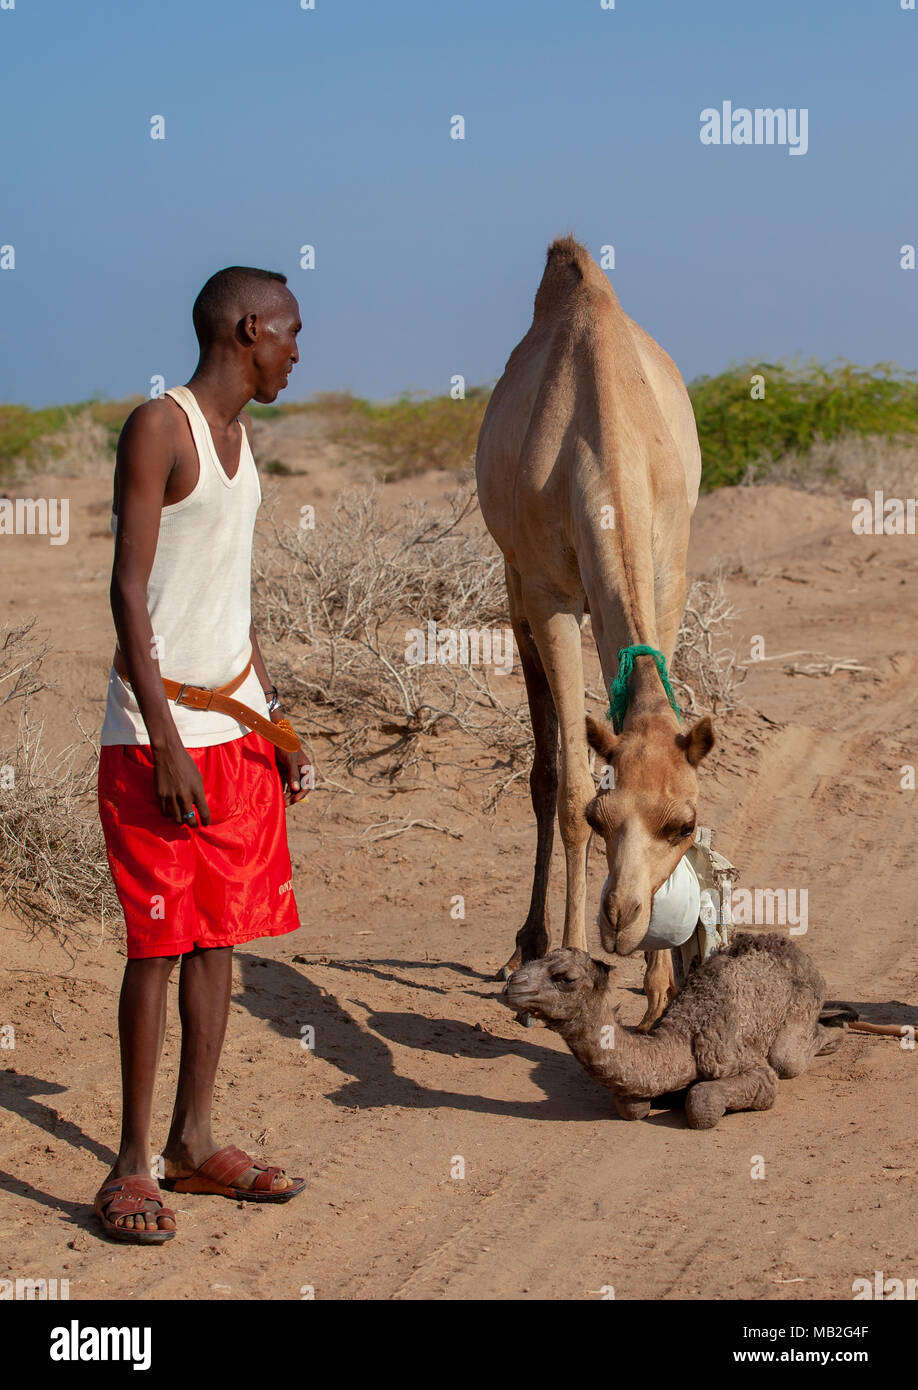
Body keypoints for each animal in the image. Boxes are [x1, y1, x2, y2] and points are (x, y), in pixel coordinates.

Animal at [476, 234, 713, 1027]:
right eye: (606, 818)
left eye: (684, 824)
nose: (621, 919)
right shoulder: (549, 595)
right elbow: (570, 783)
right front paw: (567, 968)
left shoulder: (669, 574)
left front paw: (664, 987)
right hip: (515, 587)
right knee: (544, 770)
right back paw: (527, 944)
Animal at [499, 933, 846, 1128]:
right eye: (536, 960)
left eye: (566, 978)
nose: (511, 985)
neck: (683, 1044)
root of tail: (795, 950)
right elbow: (632, 1106)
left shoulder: (746, 1066)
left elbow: (703, 1101)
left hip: (805, 1001)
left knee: (789, 1057)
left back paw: (838, 1028)